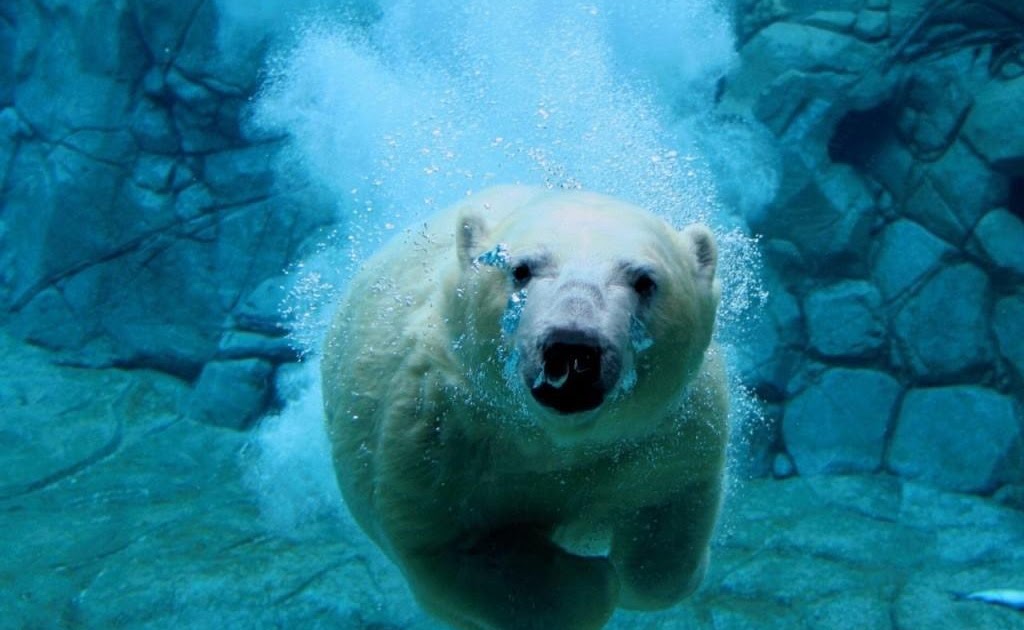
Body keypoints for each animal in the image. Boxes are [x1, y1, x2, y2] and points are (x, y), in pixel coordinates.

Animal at [322, 185, 728, 630]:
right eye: (520, 270)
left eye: (644, 280)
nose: (572, 348)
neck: (552, 439)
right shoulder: (437, 435)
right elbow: (450, 547)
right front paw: (594, 578)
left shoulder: (667, 433)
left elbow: (669, 513)